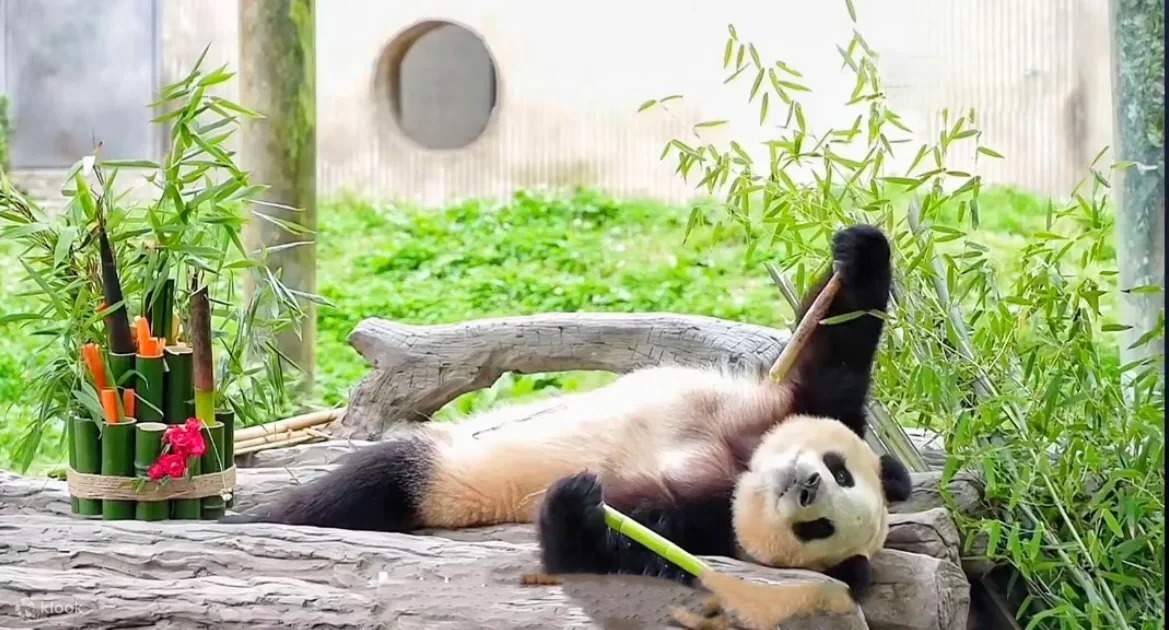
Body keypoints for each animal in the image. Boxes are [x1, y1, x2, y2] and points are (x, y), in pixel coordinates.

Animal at [223, 224, 912, 604]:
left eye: (819, 528)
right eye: (840, 471)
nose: (805, 485)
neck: (741, 470)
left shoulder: (709, 526)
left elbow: (631, 548)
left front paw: (577, 510)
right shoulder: (793, 409)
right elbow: (834, 356)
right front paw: (861, 253)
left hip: (448, 479)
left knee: (375, 483)